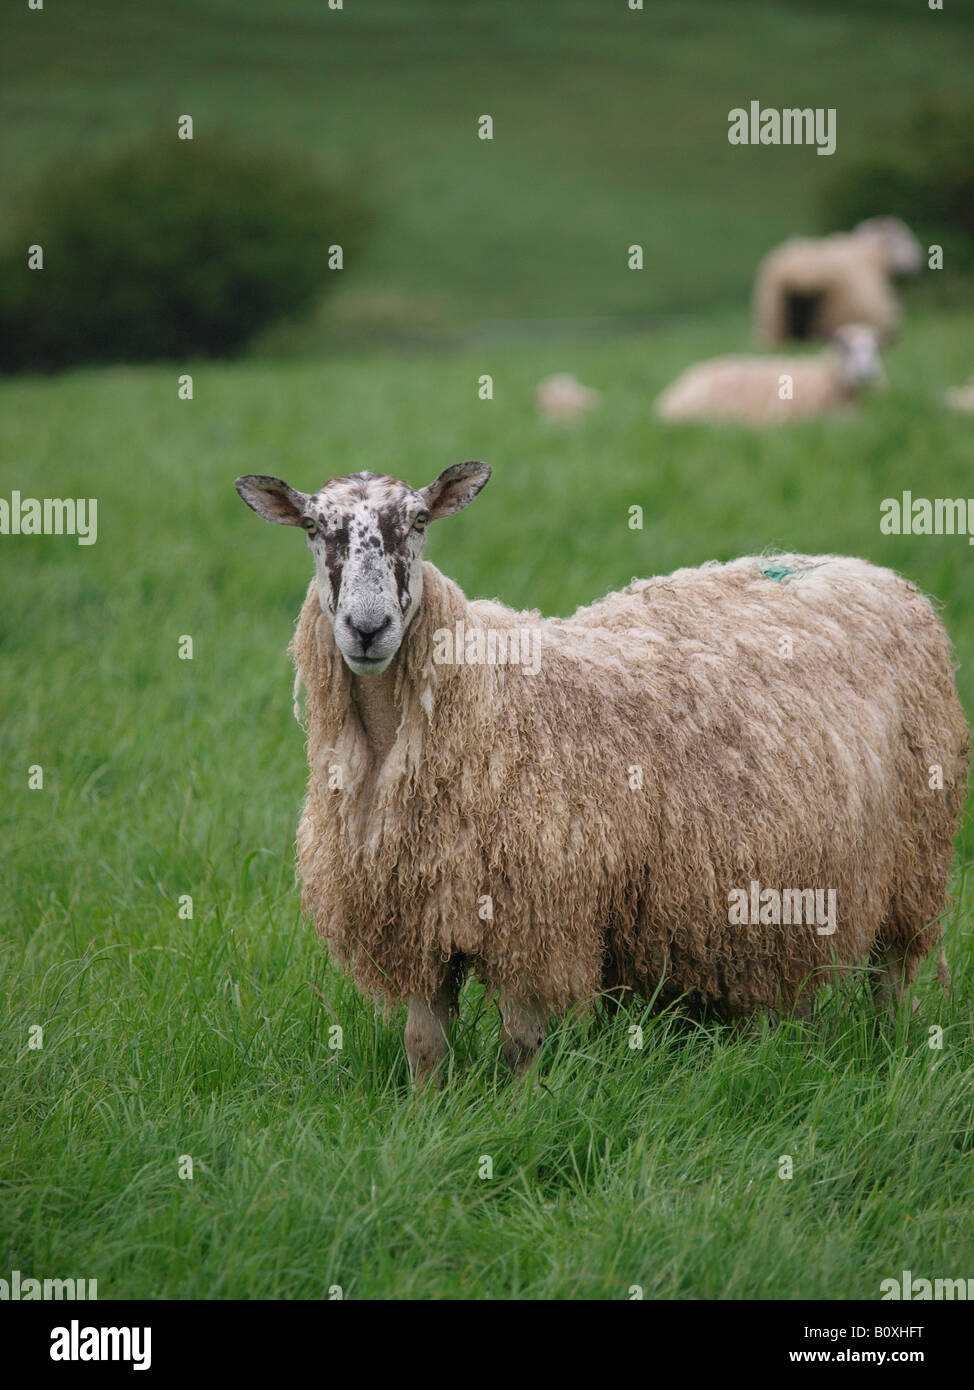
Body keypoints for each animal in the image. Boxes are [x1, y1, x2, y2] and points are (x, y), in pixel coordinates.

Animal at [235, 465, 969, 1084]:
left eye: (418, 521)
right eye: (312, 527)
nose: (368, 627)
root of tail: (863, 569)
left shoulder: (537, 918)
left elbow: (521, 1047)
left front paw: (518, 1117)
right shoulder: (415, 916)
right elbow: (425, 1047)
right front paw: (426, 1123)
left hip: (914, 861)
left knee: (892, 976)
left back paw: (895, 1051)